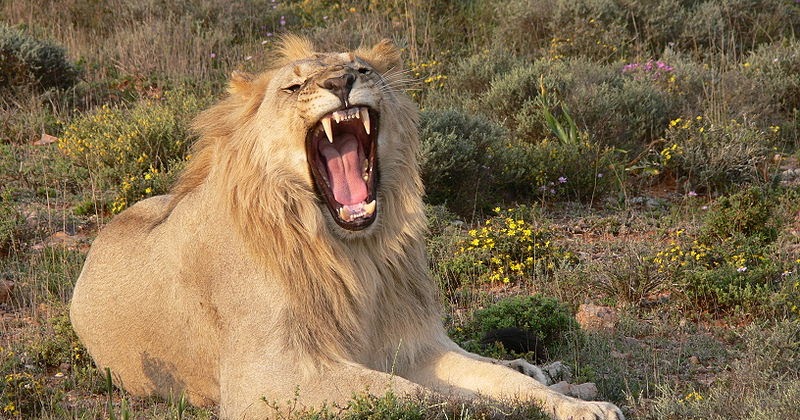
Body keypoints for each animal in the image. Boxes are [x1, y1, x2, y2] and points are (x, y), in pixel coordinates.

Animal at [69, 36, 624, 420]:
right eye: (294, 86)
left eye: (362, 68)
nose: (340, 84)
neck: (355, 255)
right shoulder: (265, 382)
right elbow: (415, 396)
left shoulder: (411, 346)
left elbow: (494, 381)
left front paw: (578, 406)